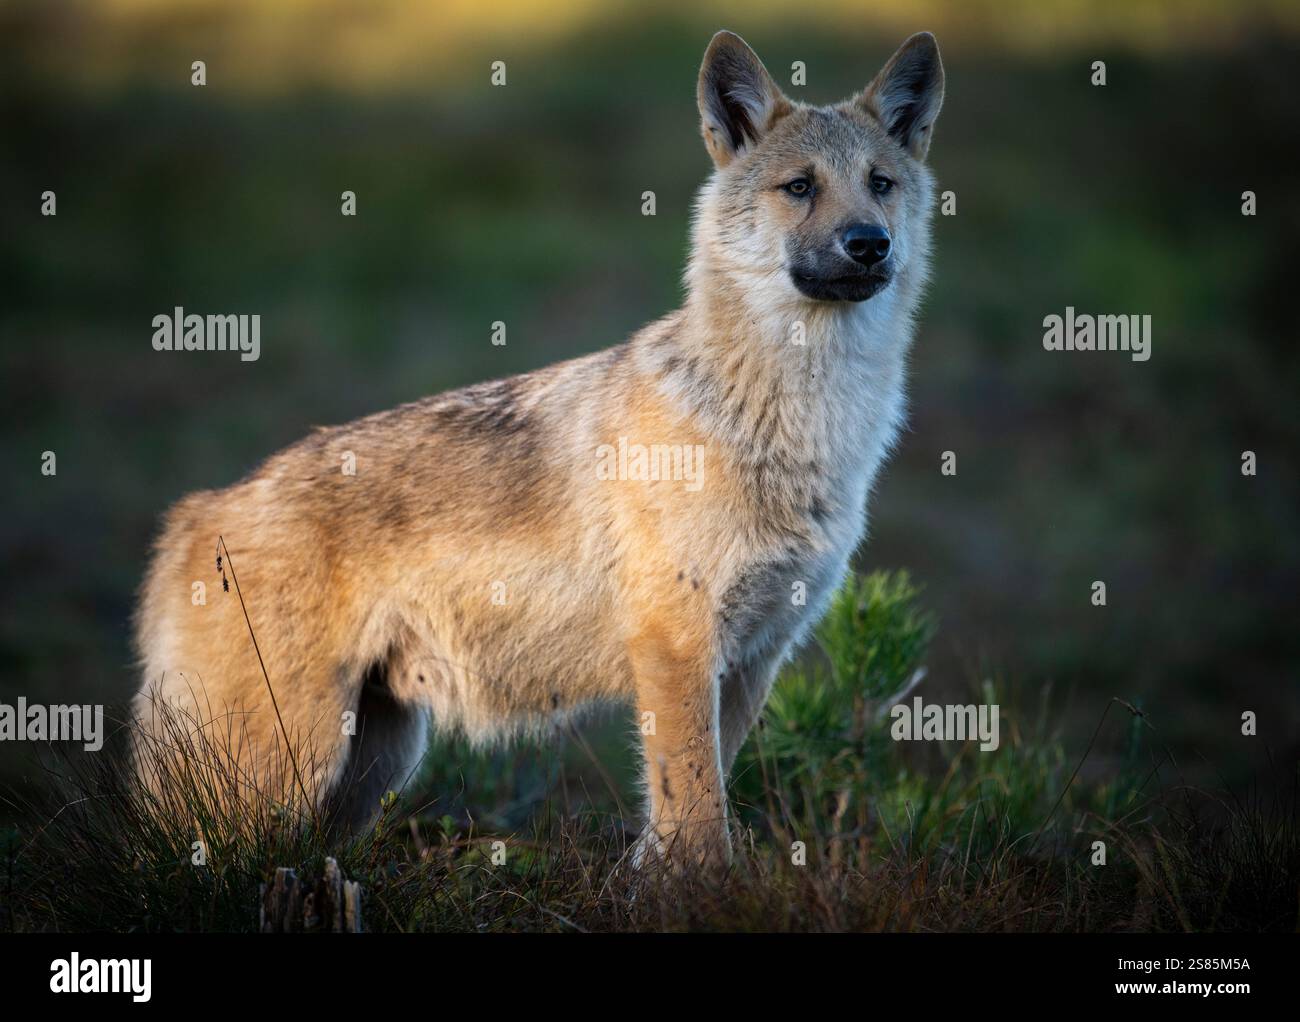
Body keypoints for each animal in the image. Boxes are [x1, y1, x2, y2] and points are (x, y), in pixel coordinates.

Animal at [132, 30, 944, 869]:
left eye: (880, 184)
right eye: (800, 186)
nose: (870, 243)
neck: (794, 430)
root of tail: (196, 512)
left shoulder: (755, 657)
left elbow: (687, 808)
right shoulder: (678, 648)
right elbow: (697, 820)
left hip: (369, 766)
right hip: (287, 771)